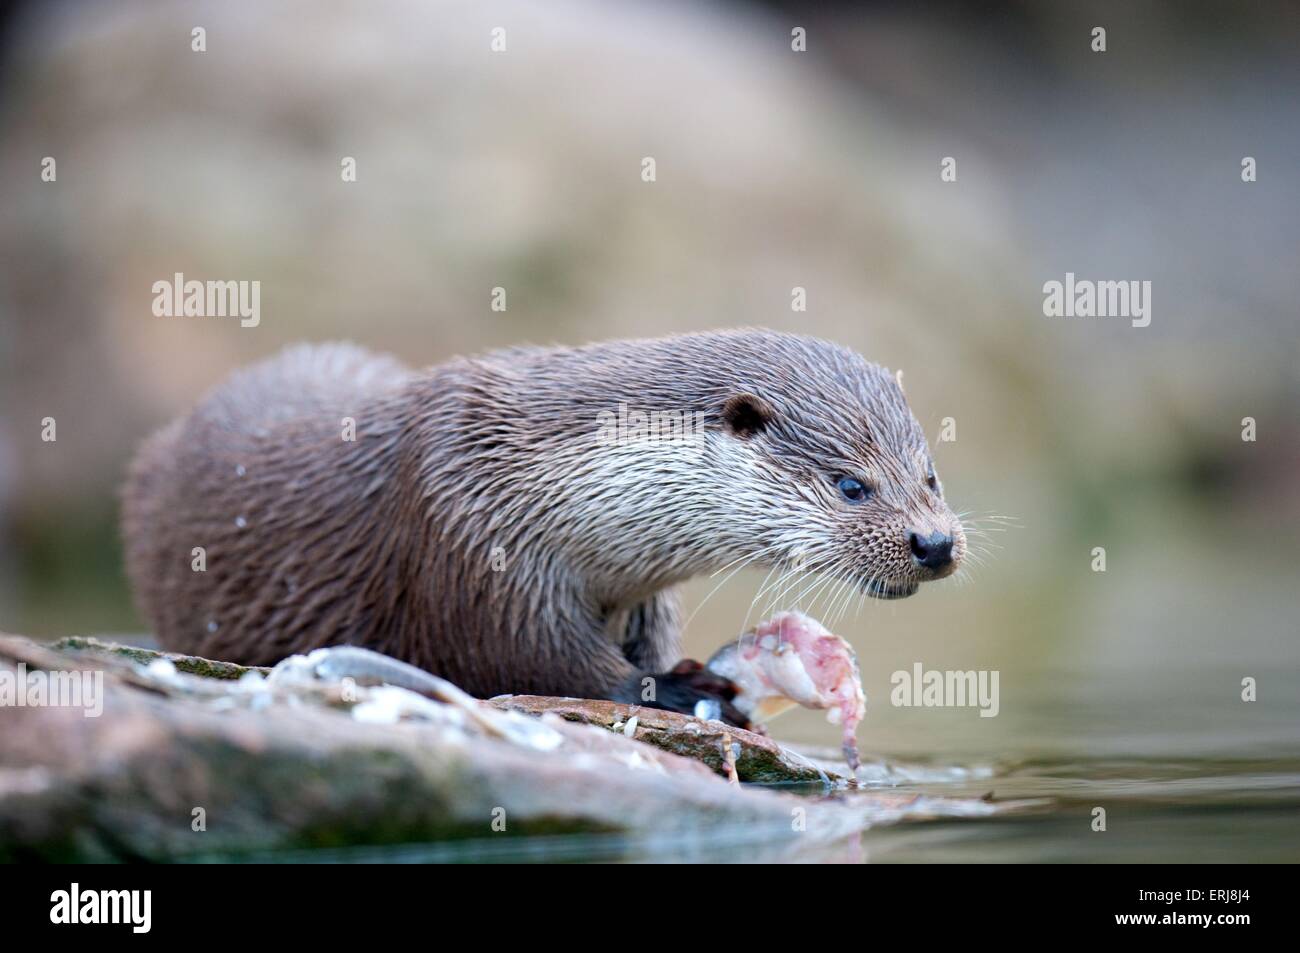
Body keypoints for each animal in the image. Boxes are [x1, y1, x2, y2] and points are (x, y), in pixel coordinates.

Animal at [121, 329, 965, 725]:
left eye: (930, 474)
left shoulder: (641, 587)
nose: (935, 542)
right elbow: (527, 653)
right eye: (851, 485)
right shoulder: (466, 533)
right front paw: (682, 688)